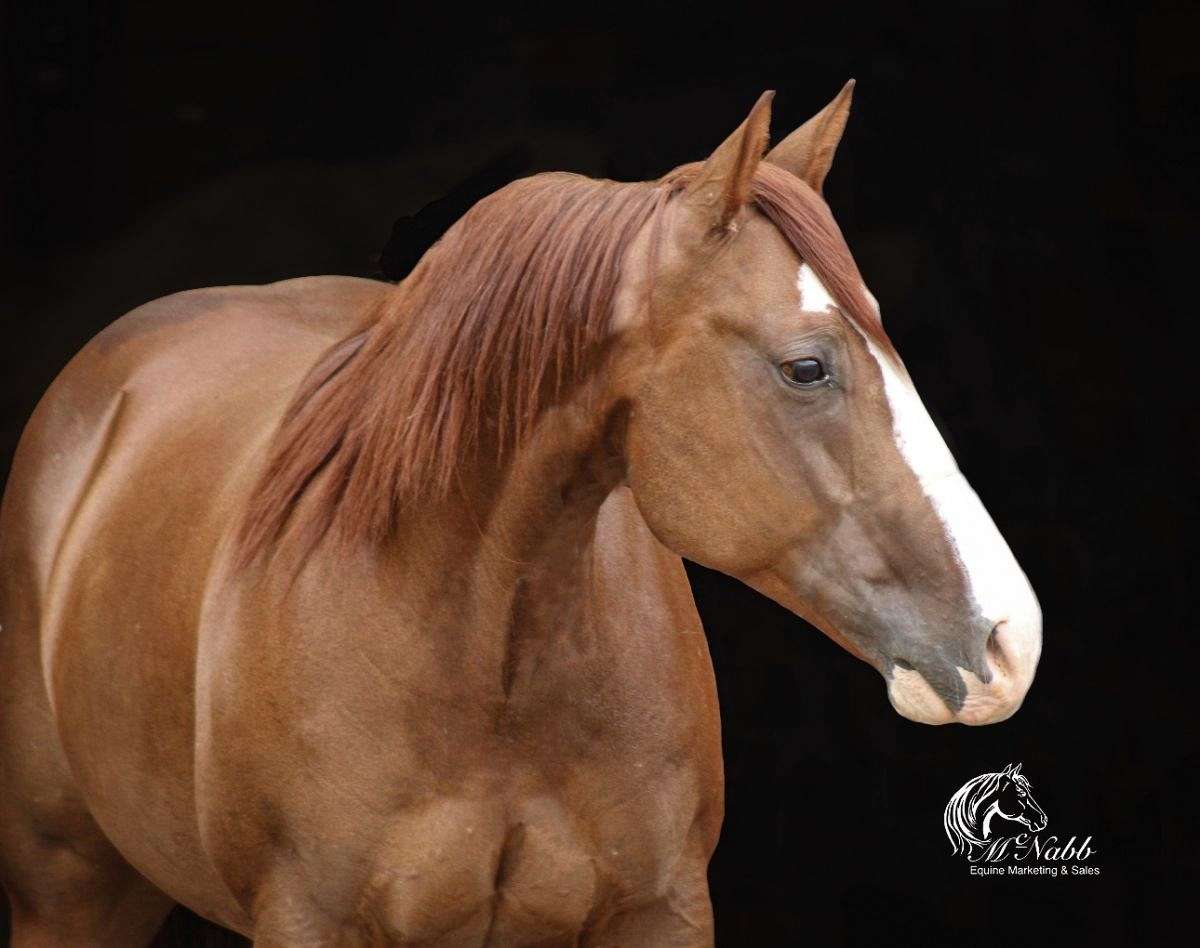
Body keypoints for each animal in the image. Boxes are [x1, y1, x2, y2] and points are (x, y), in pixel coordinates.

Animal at [0, 83, 1042, 946]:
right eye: (807, 367)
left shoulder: (660, 912)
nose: (1010, 641)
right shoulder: (307, 919)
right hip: (69, 893)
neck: (485, 675)